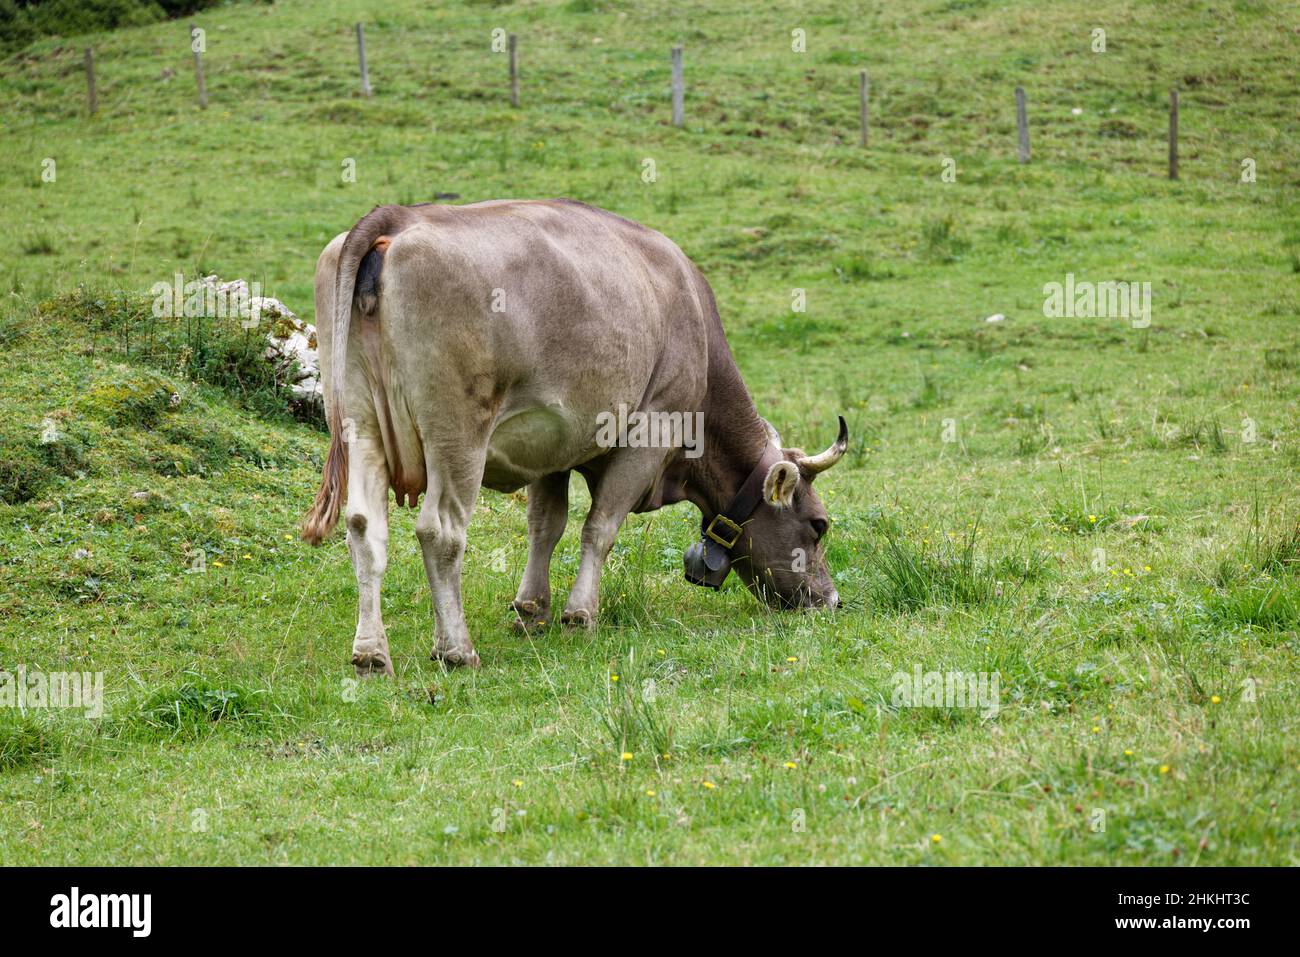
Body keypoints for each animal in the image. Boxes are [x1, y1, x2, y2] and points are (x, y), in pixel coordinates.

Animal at [302, 200, 847, 675]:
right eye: (818, 525)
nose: (830, 601)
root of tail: (400, 216)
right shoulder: (651, 431)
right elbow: (599, 527)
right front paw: (579, 614)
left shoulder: (549, 447)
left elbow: (546, 525)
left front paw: (531, 609)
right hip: (457, 434)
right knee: (441, 532)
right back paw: (456, 648)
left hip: (360, 422)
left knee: (363, 526)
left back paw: (371, 653)